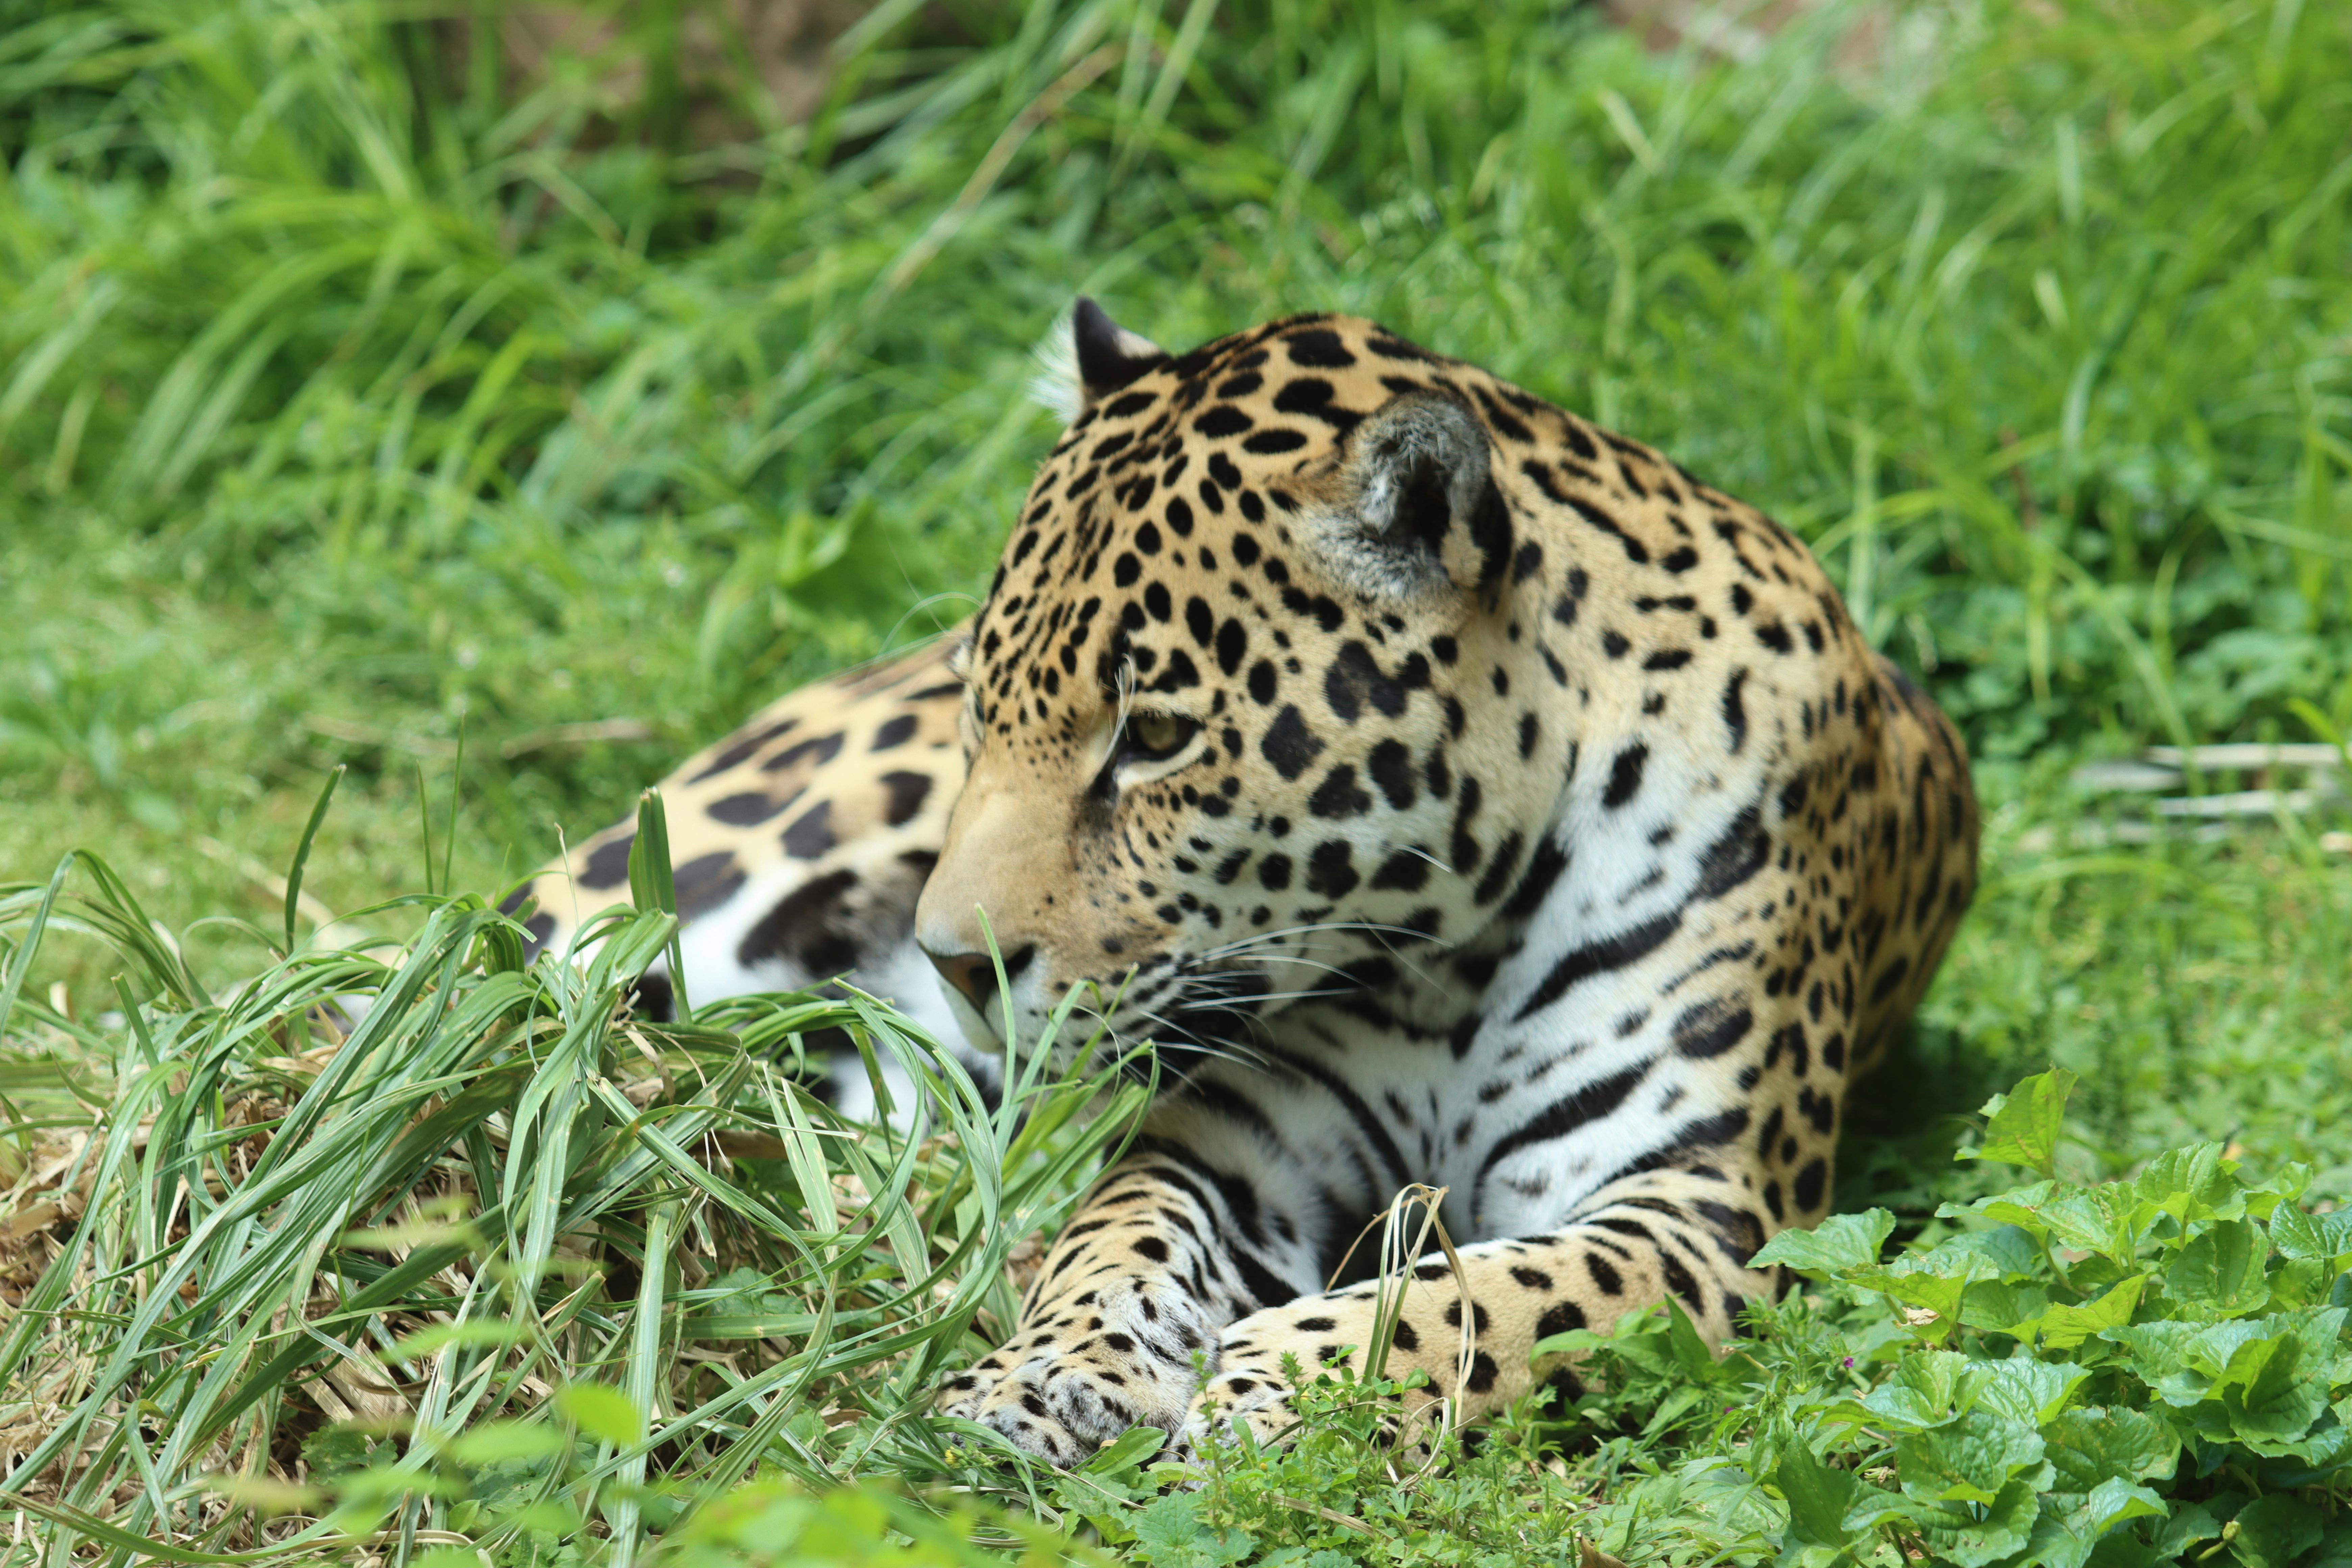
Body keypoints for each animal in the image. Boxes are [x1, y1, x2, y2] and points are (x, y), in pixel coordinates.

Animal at [508, 298, 1980, 1466]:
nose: (952, 965)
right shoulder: (1236, 1140)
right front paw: (1042, 1374)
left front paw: (1284, 1387)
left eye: (1155, 737)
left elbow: (1488, 1297)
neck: (1453, 943)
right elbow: (1116, 1242)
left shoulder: (1703, 1208)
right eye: (984, 704)